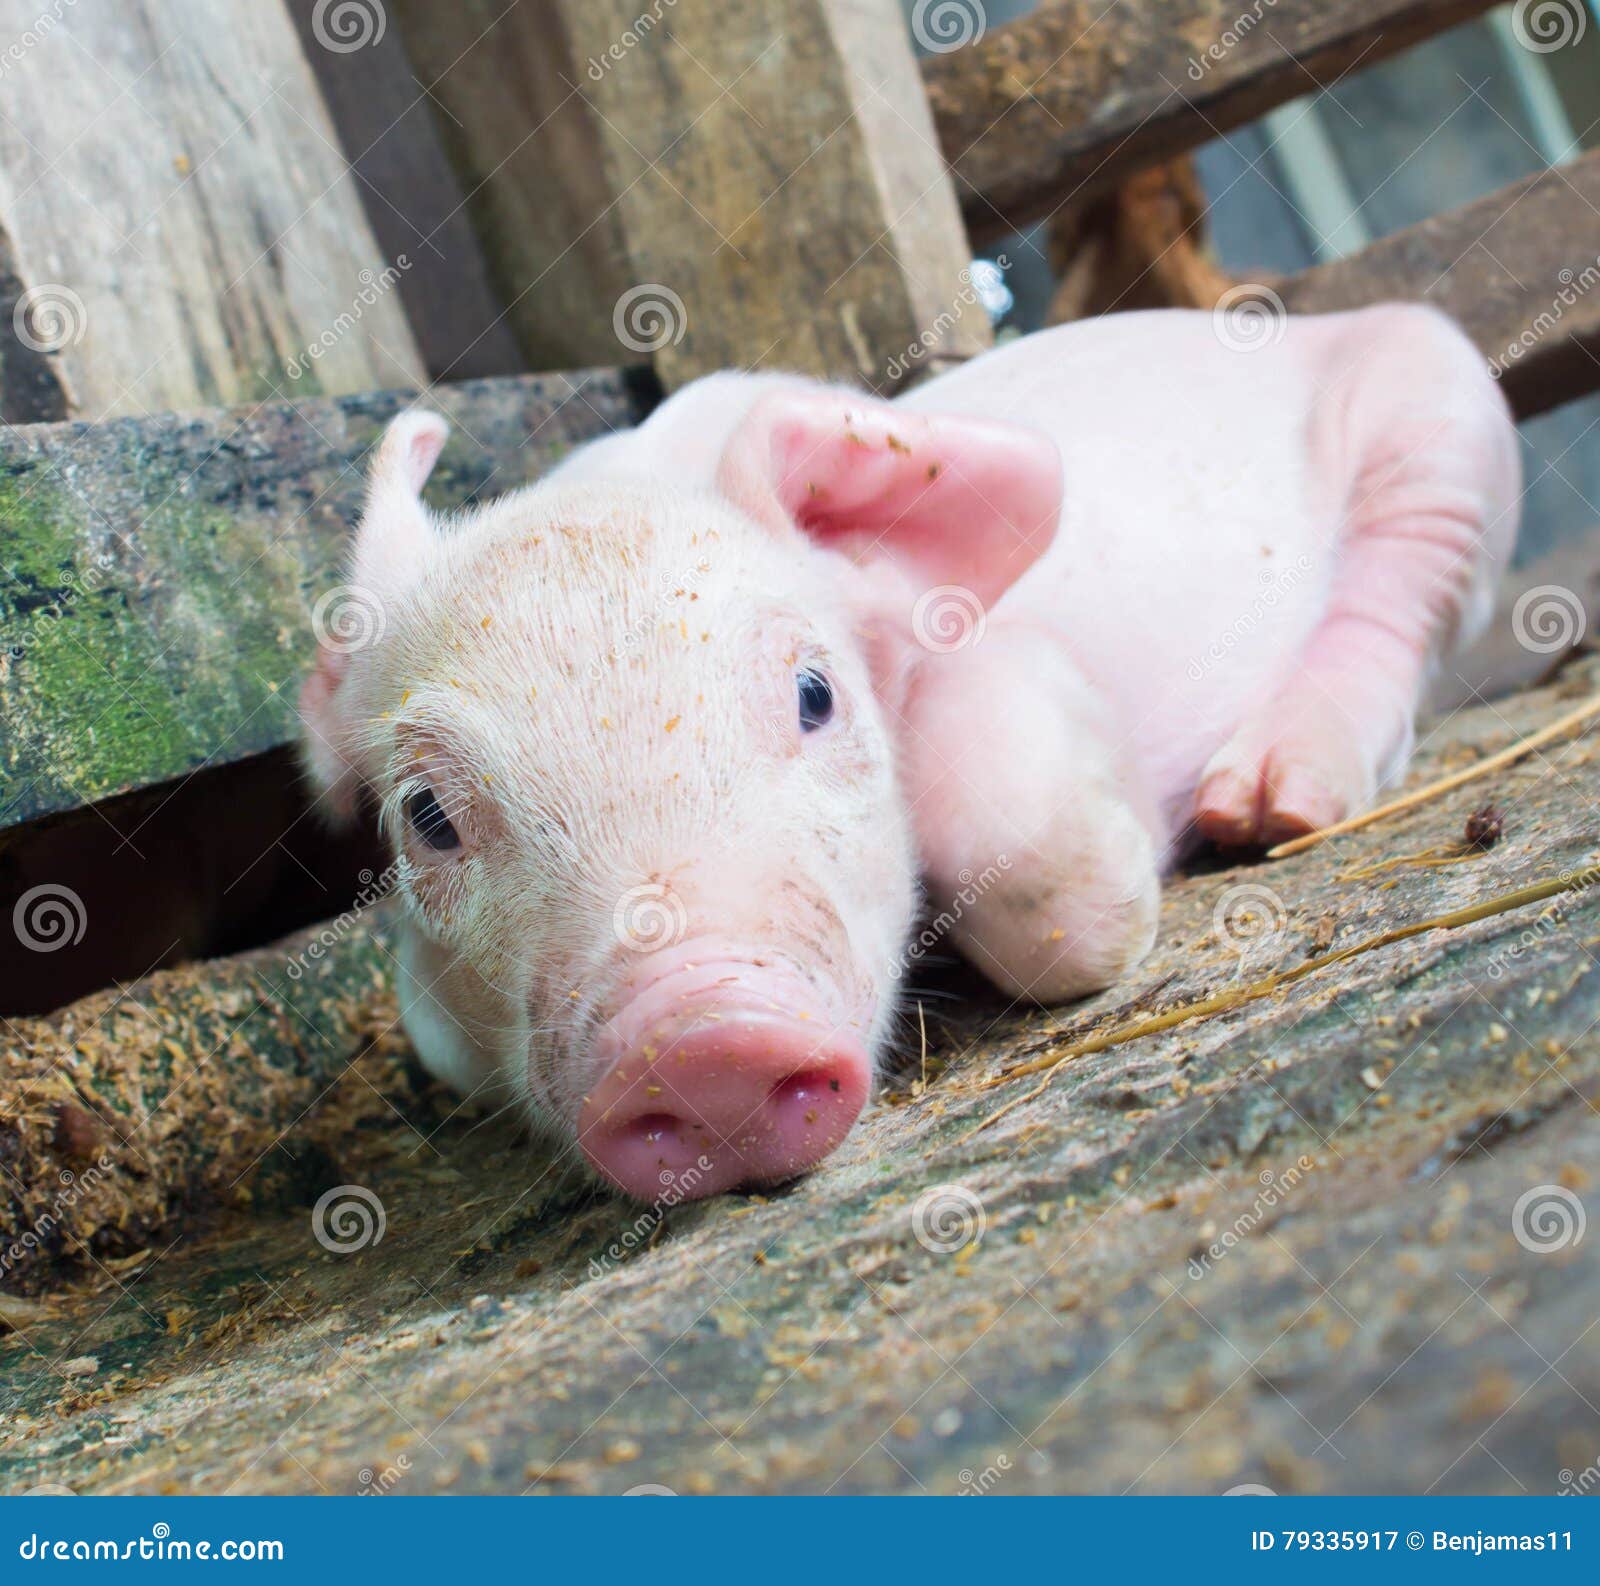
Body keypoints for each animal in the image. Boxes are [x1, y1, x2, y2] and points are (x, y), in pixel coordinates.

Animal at [300, 304, 1518, 1202]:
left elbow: (1042, 867)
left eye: (815, 694)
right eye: (428, 816)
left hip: (1443, 403)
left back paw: (1263, 811)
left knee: (1393, 610)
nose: (700, 1039)